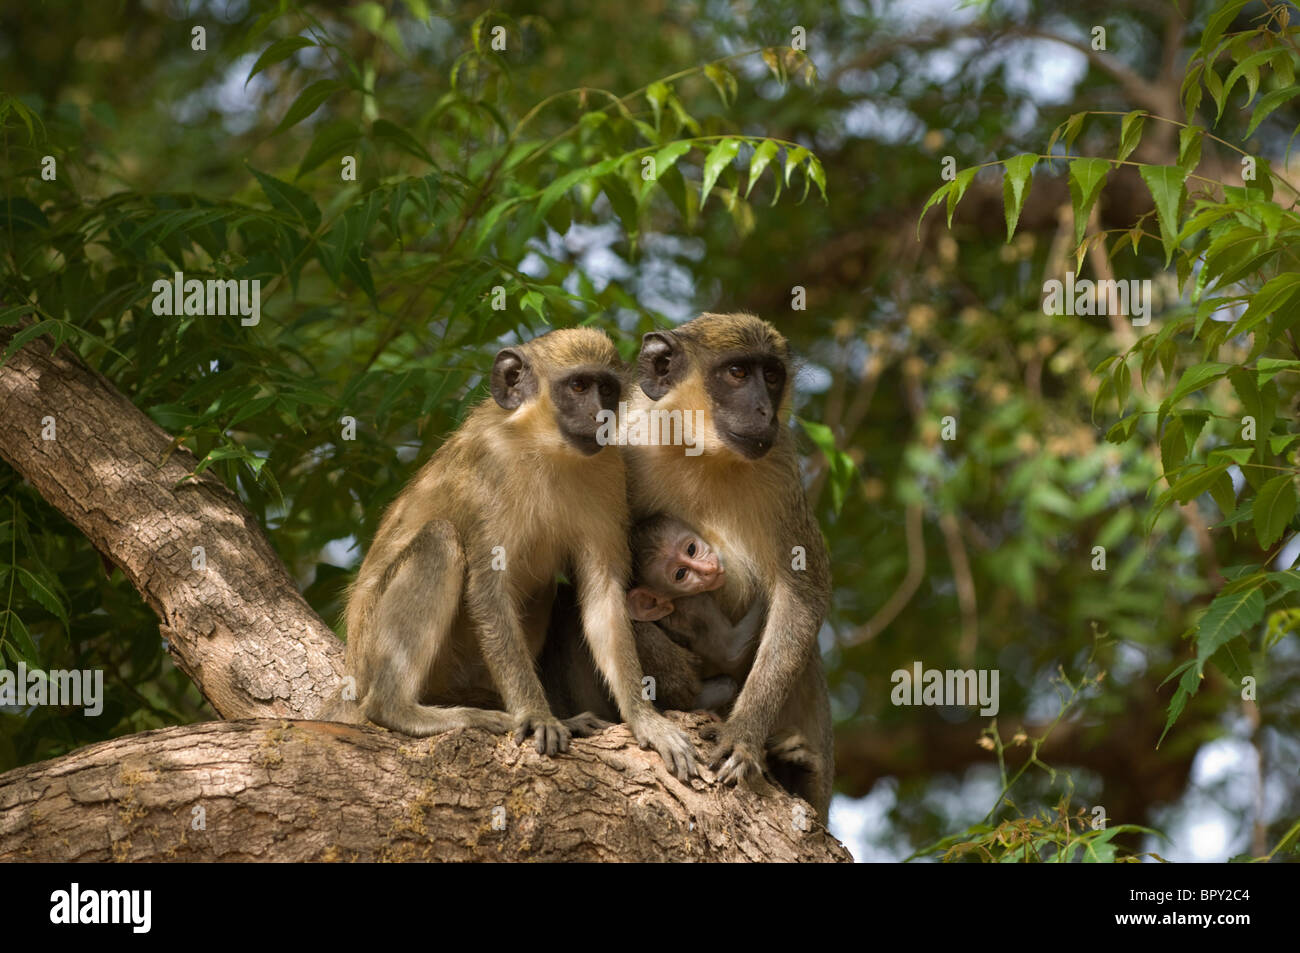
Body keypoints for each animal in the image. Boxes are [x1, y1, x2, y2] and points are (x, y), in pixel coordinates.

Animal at [336, 327, 697, 781]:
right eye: (579, 386)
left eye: (608, 390)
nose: (601, 416)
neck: (544, 447)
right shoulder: (491, 464)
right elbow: (489, 590)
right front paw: (537, 715)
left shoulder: (609, 469)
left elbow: (603, 598)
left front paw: (644, 719)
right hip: (376, 653)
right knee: (439, 539)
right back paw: (401, 710)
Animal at [623, 312, 834, 818]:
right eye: (738, 373)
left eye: (771, 376)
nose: (763, 411)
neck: (699, 450)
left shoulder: (780, 470)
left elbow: (802, 593)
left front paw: (744, 736)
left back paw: (801, 779)